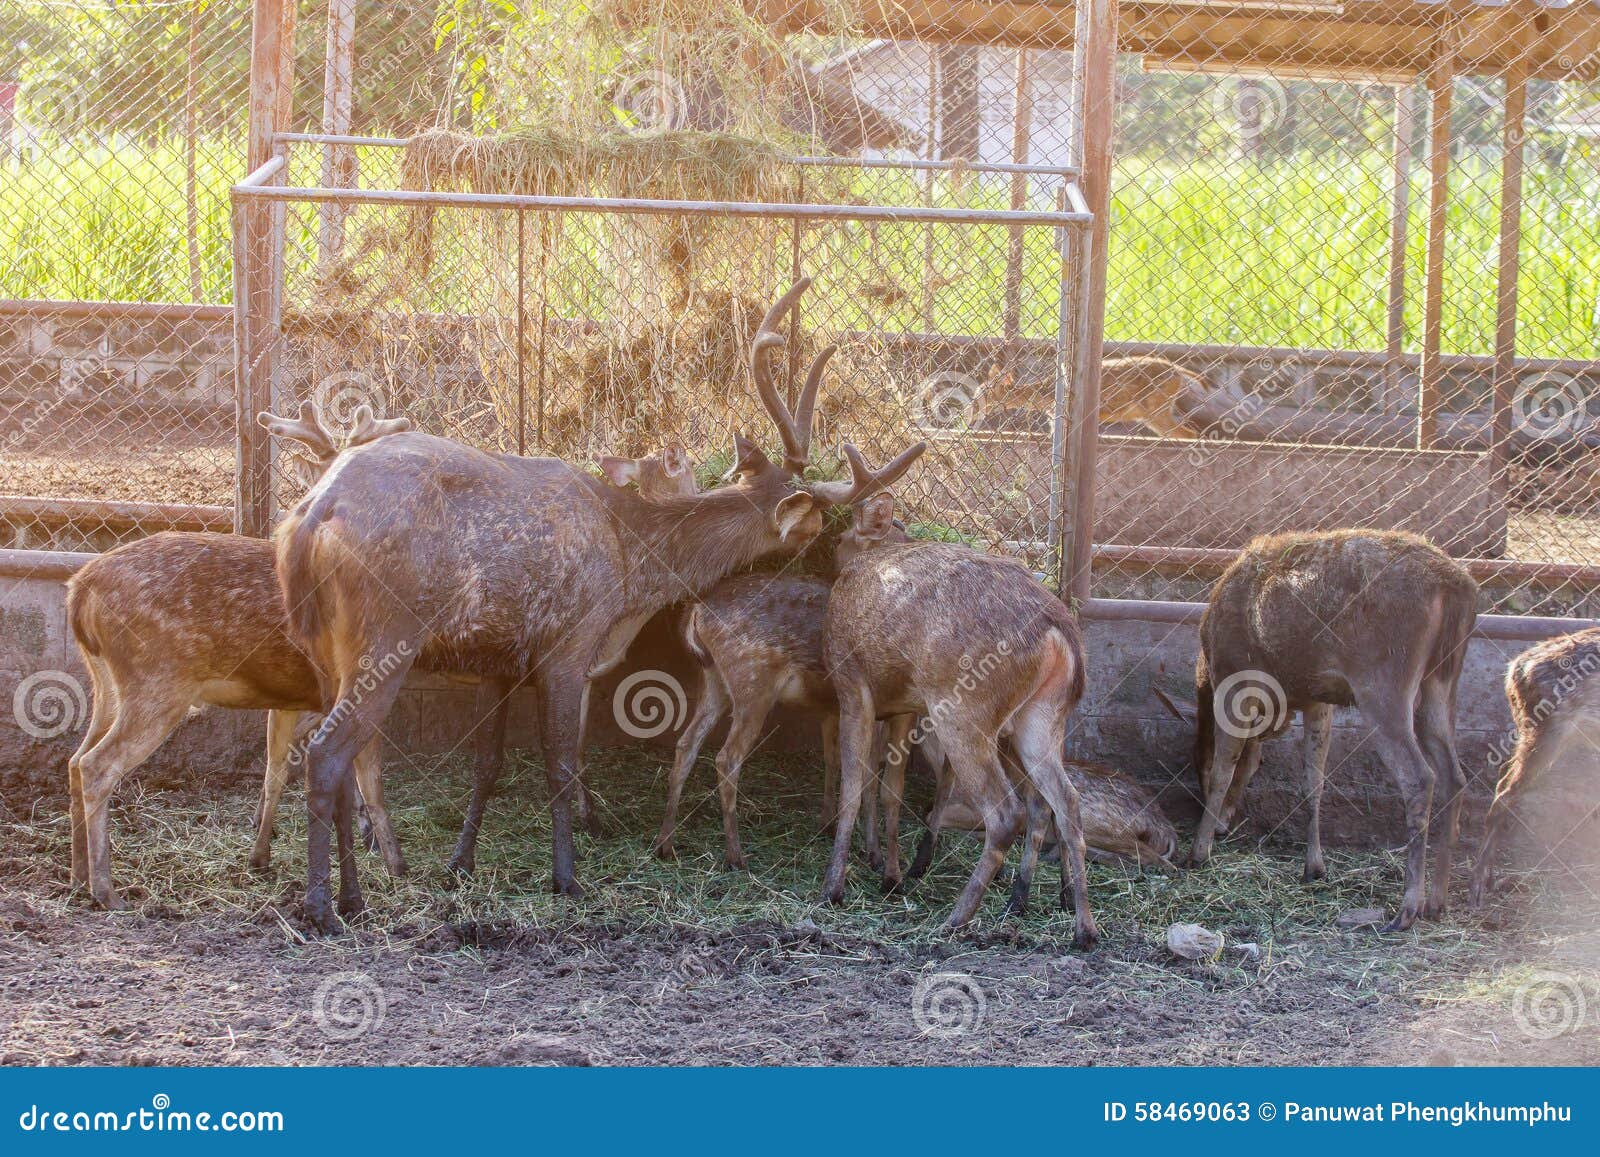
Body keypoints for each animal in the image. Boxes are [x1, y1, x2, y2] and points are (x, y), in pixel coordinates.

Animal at [64, 403, 411, 910]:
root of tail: (78, 591)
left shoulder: (290, 699)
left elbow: (274, 770)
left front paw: (259, 854)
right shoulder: (359, 683)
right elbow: (372, 781)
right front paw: (396, 865)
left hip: (105, 681)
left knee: (75, 760)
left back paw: (77, 876)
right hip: (155, 682)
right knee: (96, 766)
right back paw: (106, 889)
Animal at [275, 278, 926, 931]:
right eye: (810, 516)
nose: (823, 540)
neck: (626, 558)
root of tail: (312, 515)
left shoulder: (496, 659)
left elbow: (488, 766)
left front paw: (461, 863)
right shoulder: (570, 638)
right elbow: (562, 763)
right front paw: (566, 877)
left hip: (324, 650)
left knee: (336, 756)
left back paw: (353, 898)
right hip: (386, 637)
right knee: (327, 753)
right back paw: (323, 908)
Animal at [821, 493, 1100, 948]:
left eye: (840, 538)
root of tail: (1060, 634)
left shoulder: (851, 684)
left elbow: (853, 785)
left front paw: (834, 887)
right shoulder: (903, 706)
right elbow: (887, 787)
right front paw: (887, 872)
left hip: (964, 711)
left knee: (1005, 811)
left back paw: (957, 918)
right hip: (1041, 719)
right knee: (1064, 801)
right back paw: (1075, 925)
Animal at [1184, 529, 1477, 932]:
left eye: (1198, 763)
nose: (1222, 827)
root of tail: (1455, 587)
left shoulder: (1236, 681)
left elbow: (1224, 770)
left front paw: (1198, 852)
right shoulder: (1317, 701)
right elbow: (1314, 781)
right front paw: (1314, 867)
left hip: (1382, 681)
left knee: (1419, 777)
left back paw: (1408, 907)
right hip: (1441, 681)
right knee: (1454, 775)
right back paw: (1437, 899)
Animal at [1470, 627, 1600, 907]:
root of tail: (1513, 670)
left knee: (1503, 774)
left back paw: (1490, 878)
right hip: (1548, 730)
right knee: (1504, 793)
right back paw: (1478, 886)